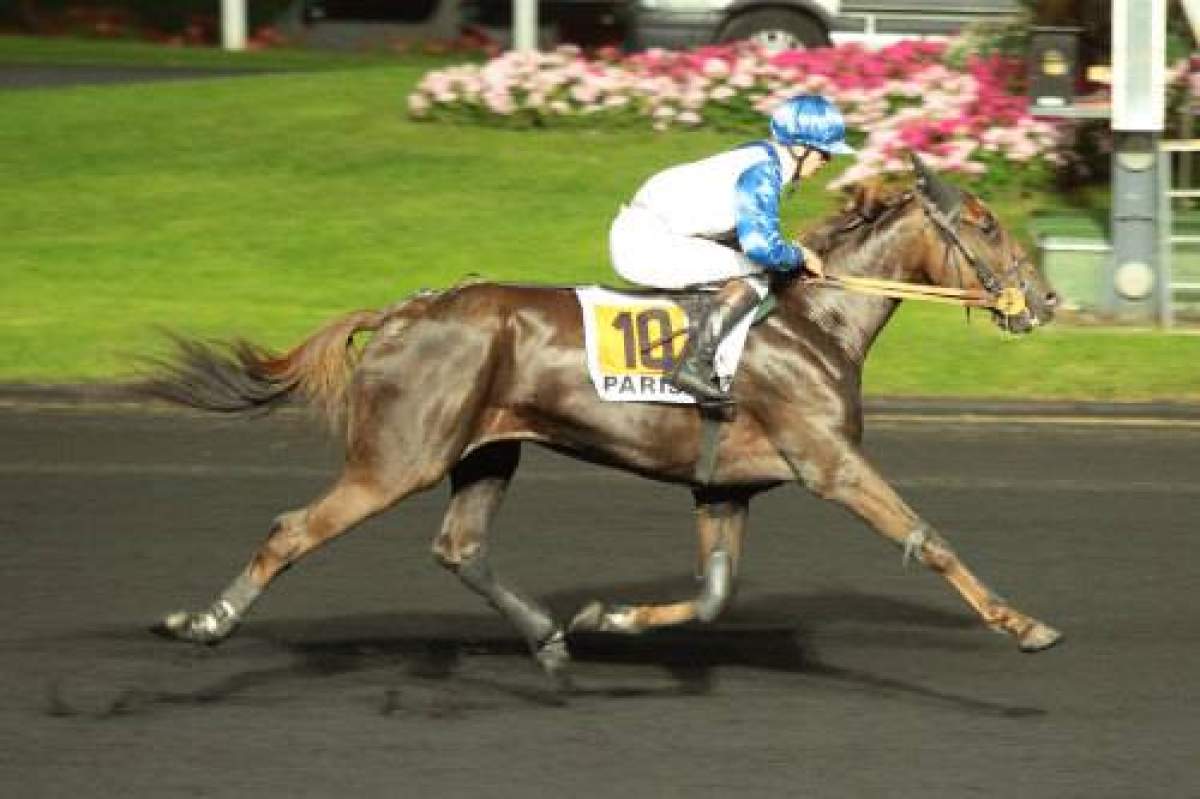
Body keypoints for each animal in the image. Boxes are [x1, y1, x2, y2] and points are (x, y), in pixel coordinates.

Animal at [143, 157, 1063, 681]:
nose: (1048, 300)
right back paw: (204, 622)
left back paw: (548, 636)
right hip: (397, 459)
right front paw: (1024, 623)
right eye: (984, 223)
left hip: (488, 451)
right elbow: (927, 538)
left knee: (459, 547)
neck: (815, 320)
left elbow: (714, 595)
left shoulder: (725, 487)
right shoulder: (829, 461)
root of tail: (406, 309)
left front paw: (608, 617)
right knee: (293, 528)